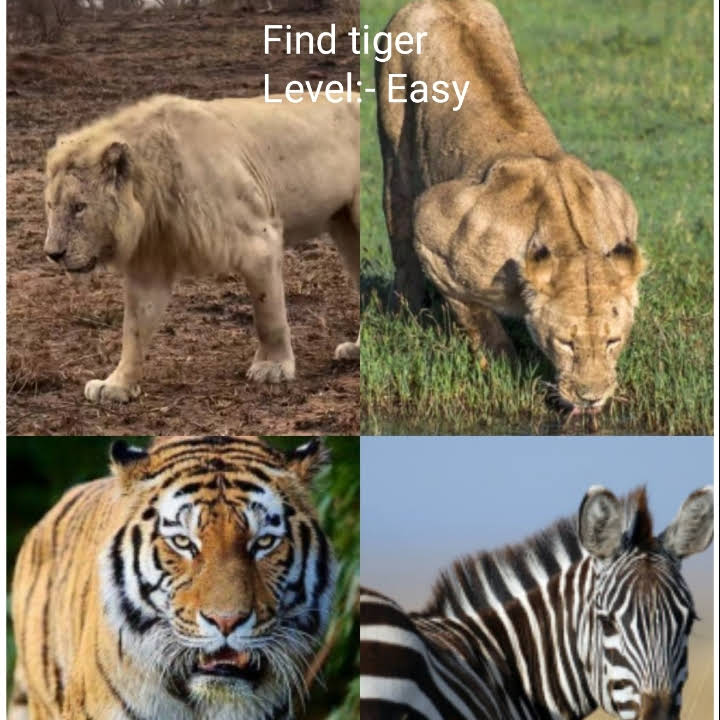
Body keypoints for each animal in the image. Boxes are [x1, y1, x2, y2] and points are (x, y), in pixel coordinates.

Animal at [44, 94, 359, 403]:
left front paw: (273, 367)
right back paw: (356, 349)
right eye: (50, 205)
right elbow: (133, 329)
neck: (154, 188)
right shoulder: (150, 263)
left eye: (79, 207)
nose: (53, 254)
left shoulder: (260, 238)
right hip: (345, 229)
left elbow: (268, 316)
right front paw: (117, 385)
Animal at [376, 0, 645, 413]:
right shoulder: (435, 224)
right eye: (566, 343)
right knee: (400, 228)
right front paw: (505, 366)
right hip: (394, 144)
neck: (569, 239)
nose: (591, 398)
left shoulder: (618, 202)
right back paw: (402, 312)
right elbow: (477, 315)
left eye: (612, 341)